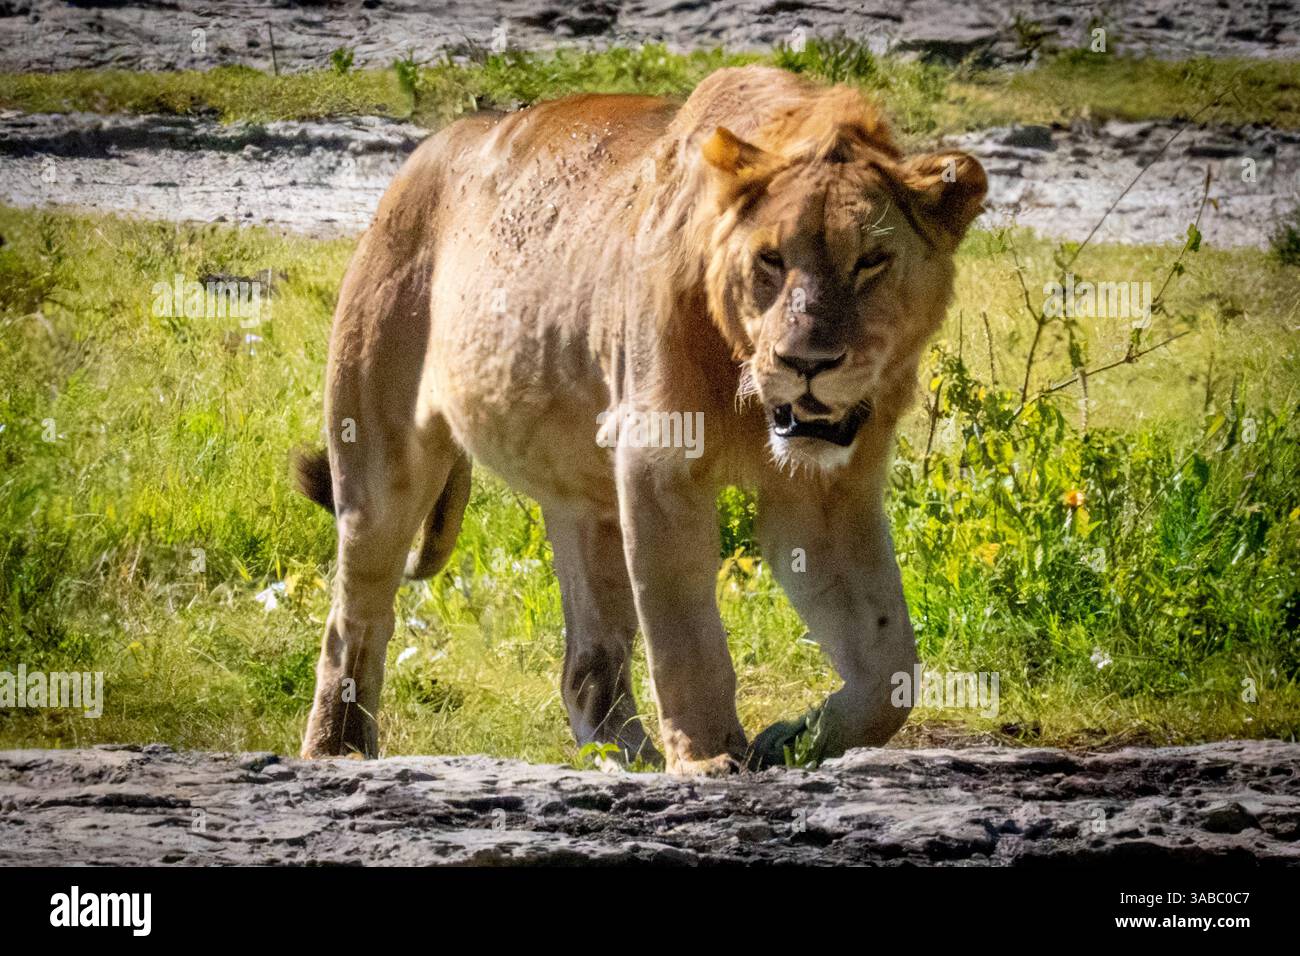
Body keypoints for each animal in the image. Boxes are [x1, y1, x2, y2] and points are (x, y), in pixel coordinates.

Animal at [293, 65, 987, 774]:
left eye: (870, 261)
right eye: (770, 259)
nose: (806, 363)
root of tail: (423, 154)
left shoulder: (824, 492)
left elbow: (890, 667)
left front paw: (789, 741)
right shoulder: (658, 464)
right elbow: (685, 635)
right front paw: (708, 758)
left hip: (583, 494)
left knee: (585, 662)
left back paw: (626, 757)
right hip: (379, 458)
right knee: (353, 618)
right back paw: (336, 749)